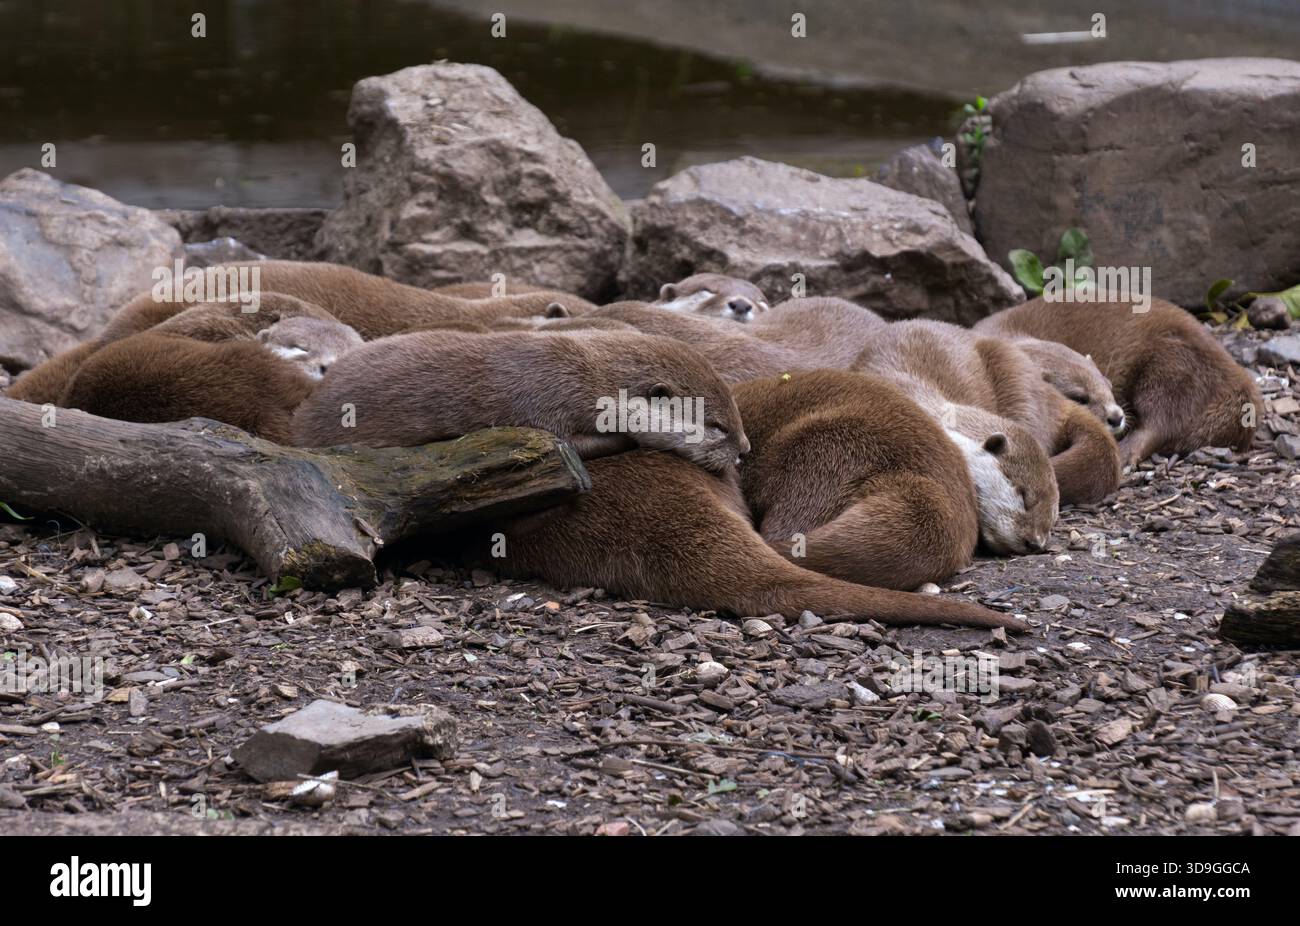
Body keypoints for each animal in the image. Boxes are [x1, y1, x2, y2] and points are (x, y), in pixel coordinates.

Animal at [973, 297, 1262, 465]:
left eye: (1109, 386)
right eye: (1079, 397)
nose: (1116, 416)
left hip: (1172, 364)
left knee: (1163, 420)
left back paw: (1124, 454)